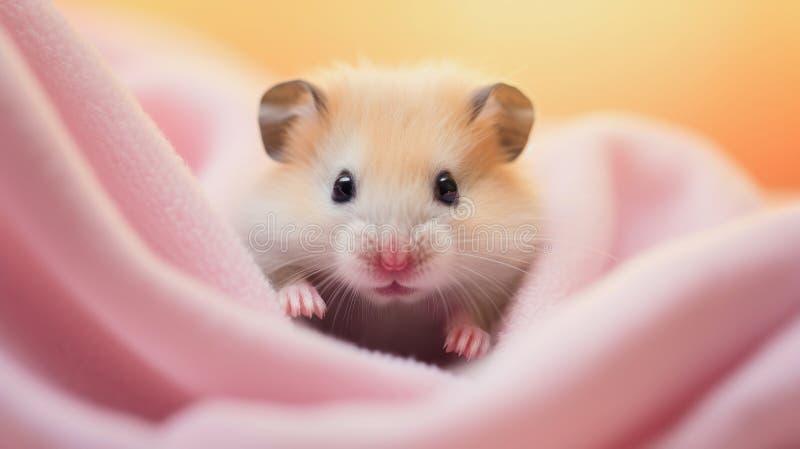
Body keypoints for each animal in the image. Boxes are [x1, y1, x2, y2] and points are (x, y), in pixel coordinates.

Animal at [234, 64, 539, 364]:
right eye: (342, 186)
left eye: (448, 187)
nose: (394, 262)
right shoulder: (262, 243)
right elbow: (285, 276)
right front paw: (306, 306)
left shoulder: (497, 280)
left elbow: (473, 310)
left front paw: (466, 345)